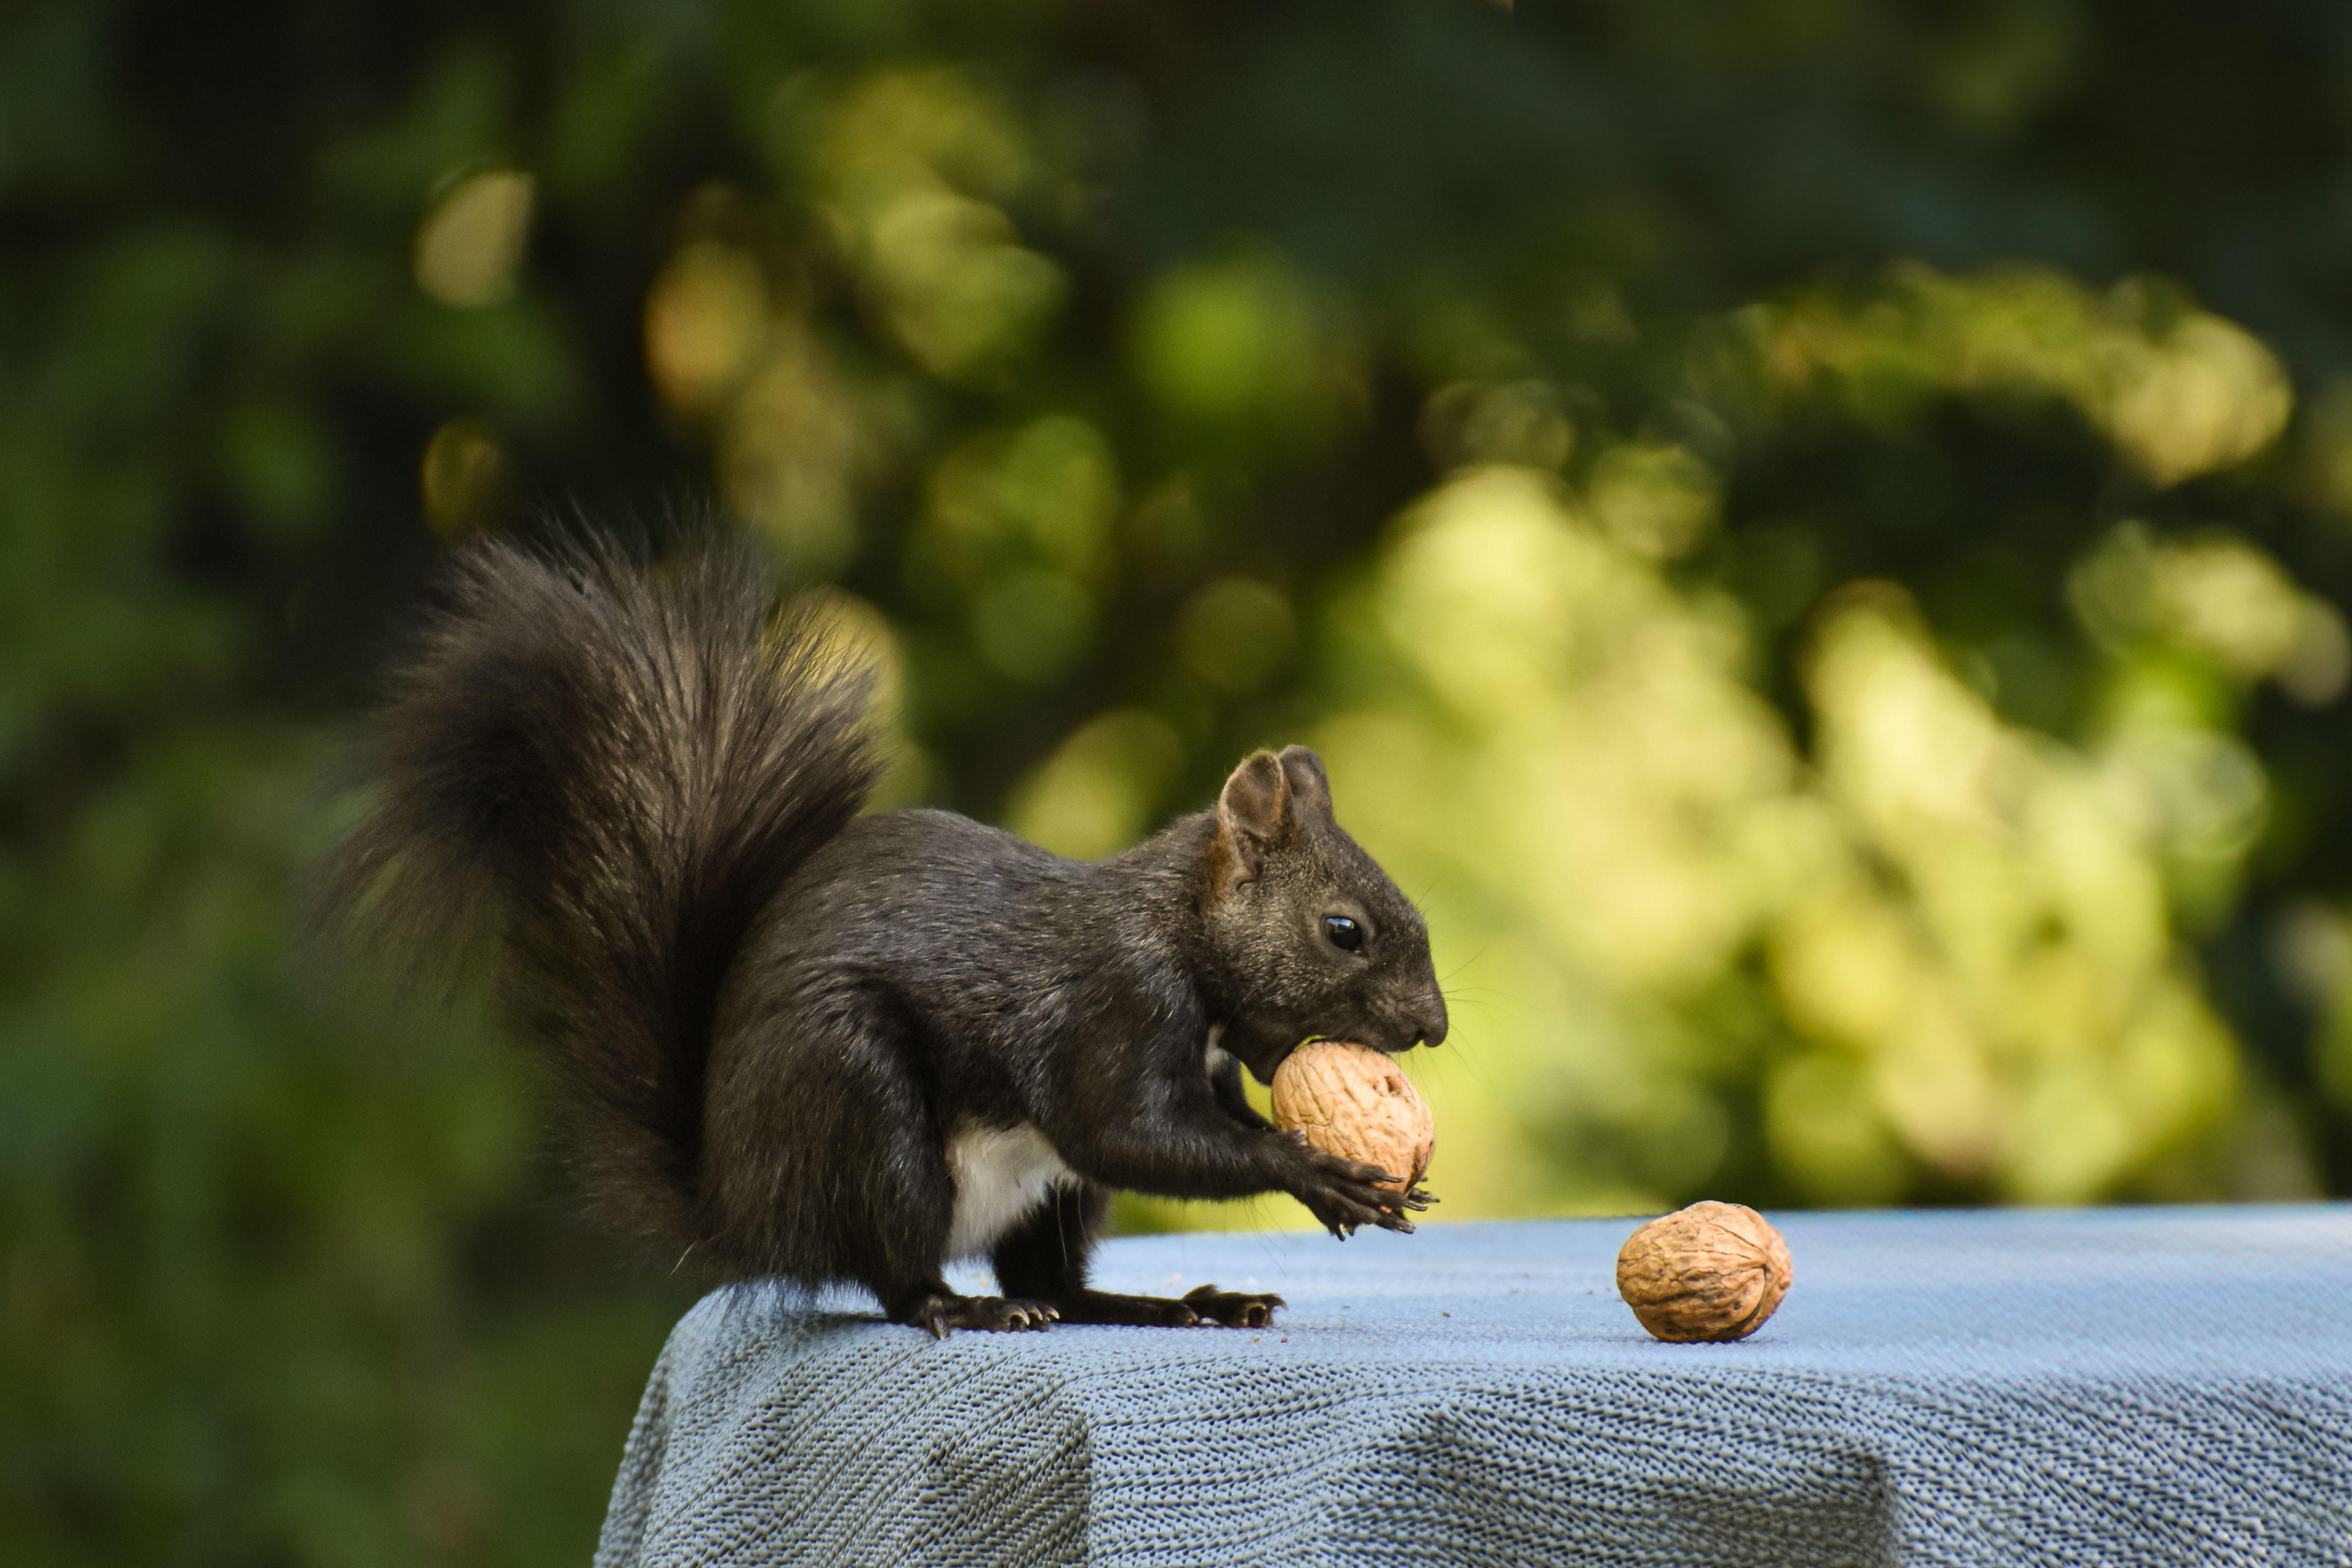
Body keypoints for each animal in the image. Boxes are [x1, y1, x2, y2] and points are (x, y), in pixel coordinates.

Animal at [325, 529, 1448, 1336]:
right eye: (1343, 930)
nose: (1432, 1026)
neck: (1179, 933)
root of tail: (742, 1205)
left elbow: (1192, 1128)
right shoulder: (1114, 1007)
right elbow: (1127, 1131)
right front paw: (1317, 1171)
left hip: (1050, 1196)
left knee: (1061, 1284)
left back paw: (1174, 1303)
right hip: (865, 1115)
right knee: (896, 1275)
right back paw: (967, 1307)